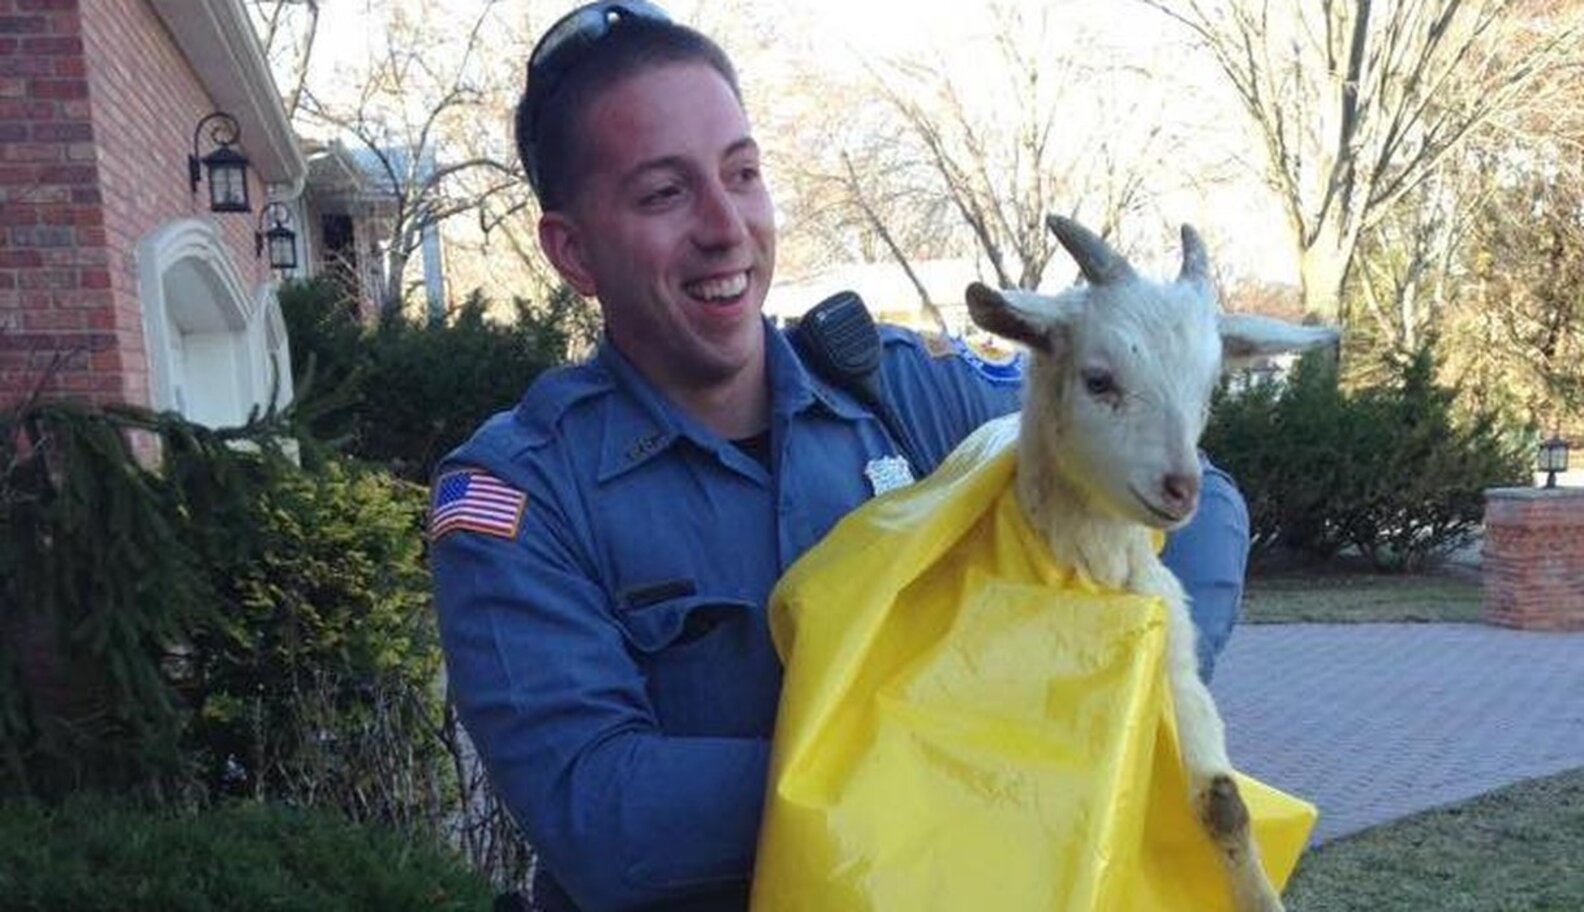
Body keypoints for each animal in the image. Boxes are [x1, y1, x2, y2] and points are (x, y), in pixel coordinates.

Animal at [965, 216, 1335, 912]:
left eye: (1212, 387)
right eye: (1098, 379)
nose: (1182, 488)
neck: (1103, 570)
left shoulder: (1178, 662)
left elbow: (1224, 803)